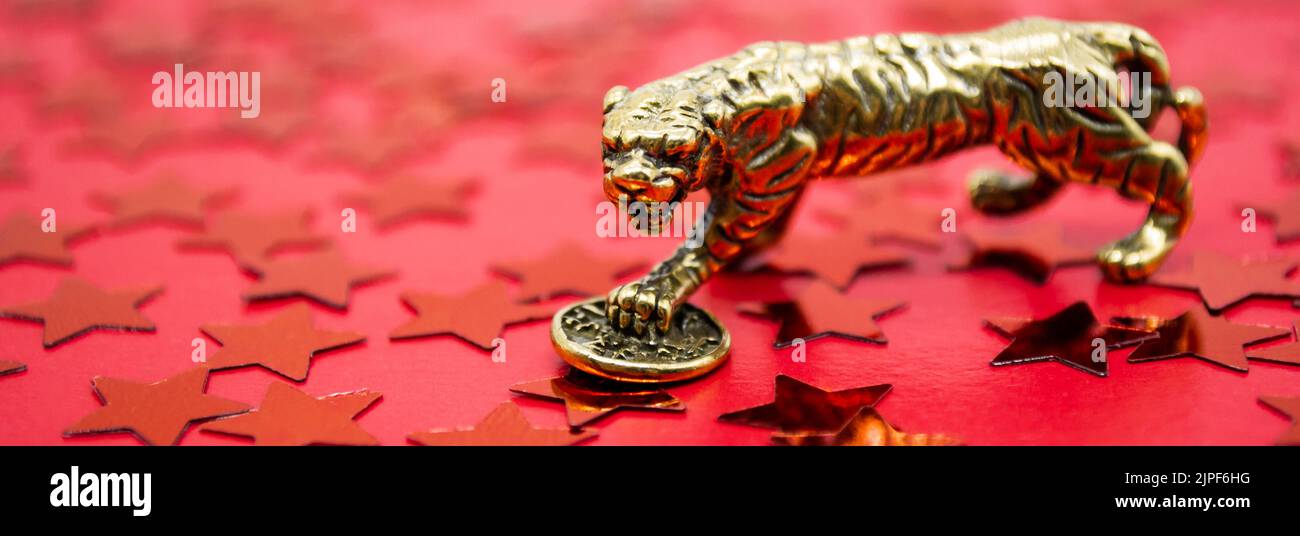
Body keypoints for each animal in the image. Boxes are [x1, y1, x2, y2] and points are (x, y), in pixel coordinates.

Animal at [600, 17, 1208, 335]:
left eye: (675, 152)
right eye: (613, 145)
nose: (632, 183)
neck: (710, 91)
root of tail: (1089, 30)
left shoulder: (773, 168)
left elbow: (707, 239)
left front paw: (649, 294)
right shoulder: (780, 173)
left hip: (1077, 135)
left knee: (1169, 162)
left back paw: (1141, 251)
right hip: (1043, 136)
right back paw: (1001, 195)